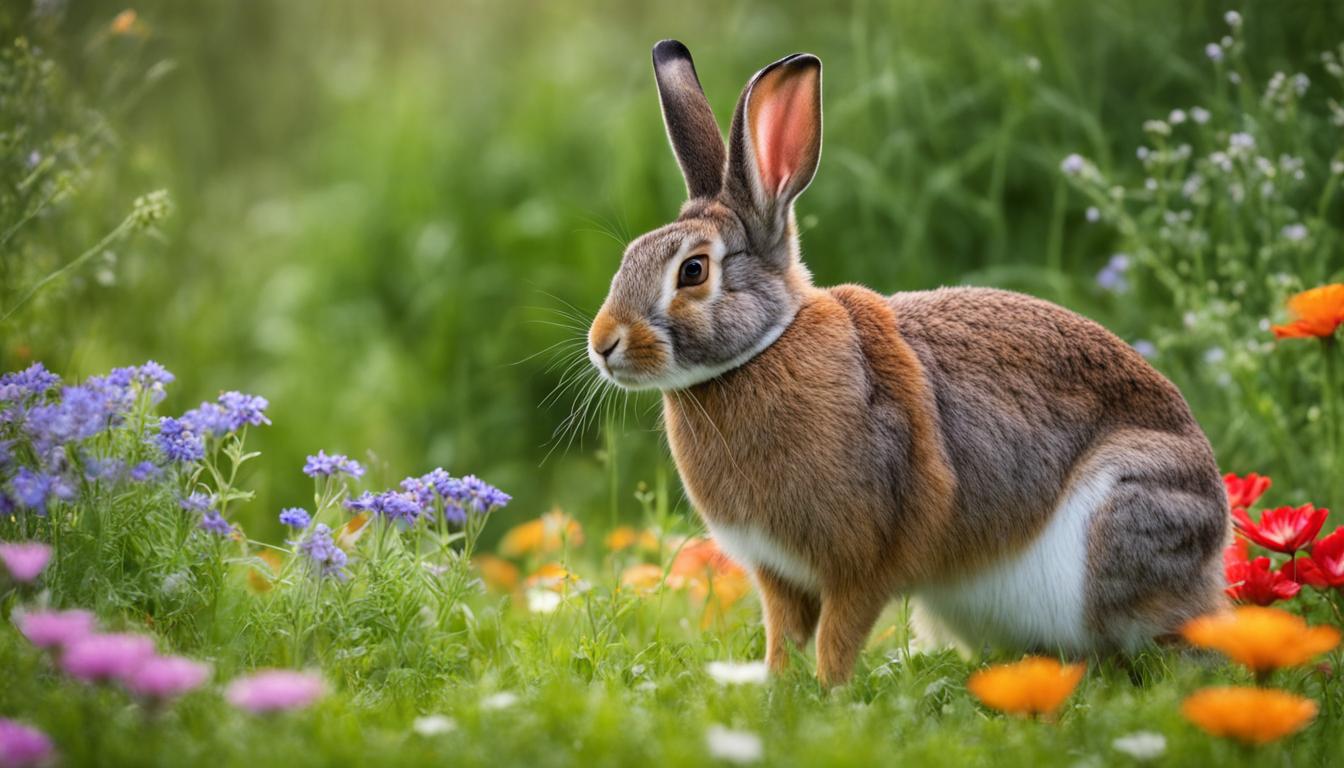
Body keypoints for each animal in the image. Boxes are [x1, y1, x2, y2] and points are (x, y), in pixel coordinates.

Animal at [586, 40, 1229, 685]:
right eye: (628, 256)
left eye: (693, 271)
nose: (602, 343)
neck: (765, 347)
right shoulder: (778, 573)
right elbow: (784, 637)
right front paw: (776, 690)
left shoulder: (864, 560)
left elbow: (838, 638)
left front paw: (828, 695)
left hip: (1122, 518)